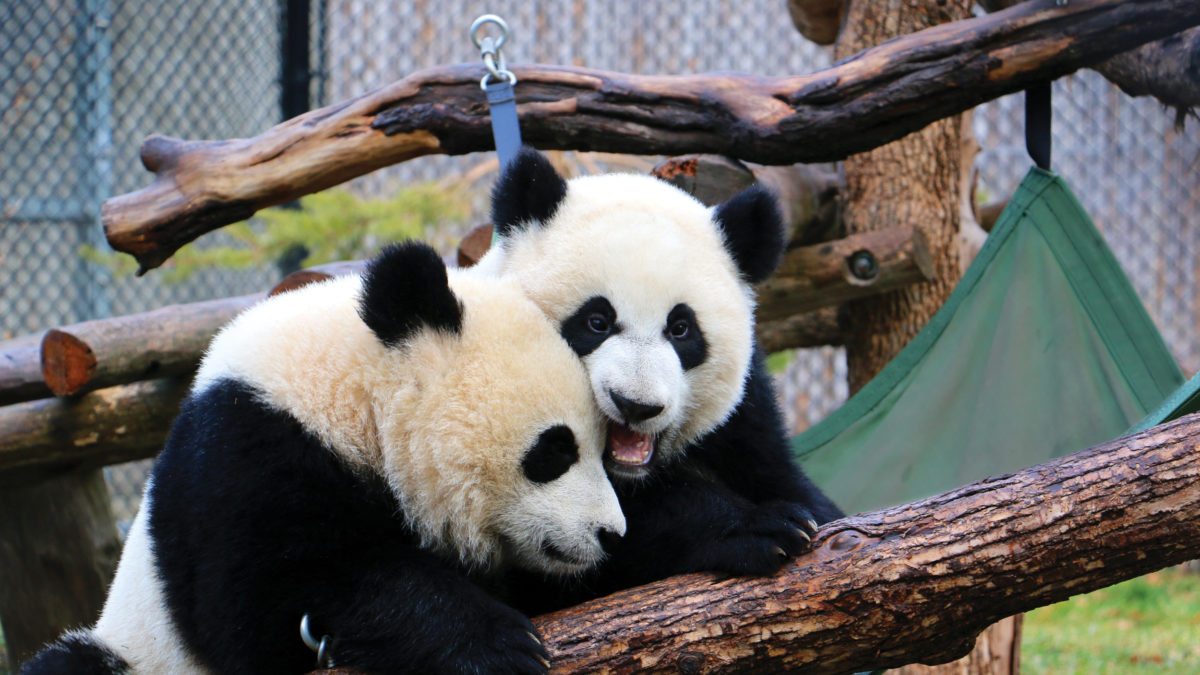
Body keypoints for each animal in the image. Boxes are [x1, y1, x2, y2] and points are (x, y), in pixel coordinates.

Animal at [22, 242, 625, 675]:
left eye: (603, 449)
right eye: (555, 449)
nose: (609, 534)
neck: (348, 399)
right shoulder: (242, 451)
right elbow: (257, 602)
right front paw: (500, 645)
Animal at [473, 149, 844, 607]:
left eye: (681, 328)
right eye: (596, 321)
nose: (635, 404)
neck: (630, 476)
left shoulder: (745, 424)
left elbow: (787, 480)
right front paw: (763, 527)